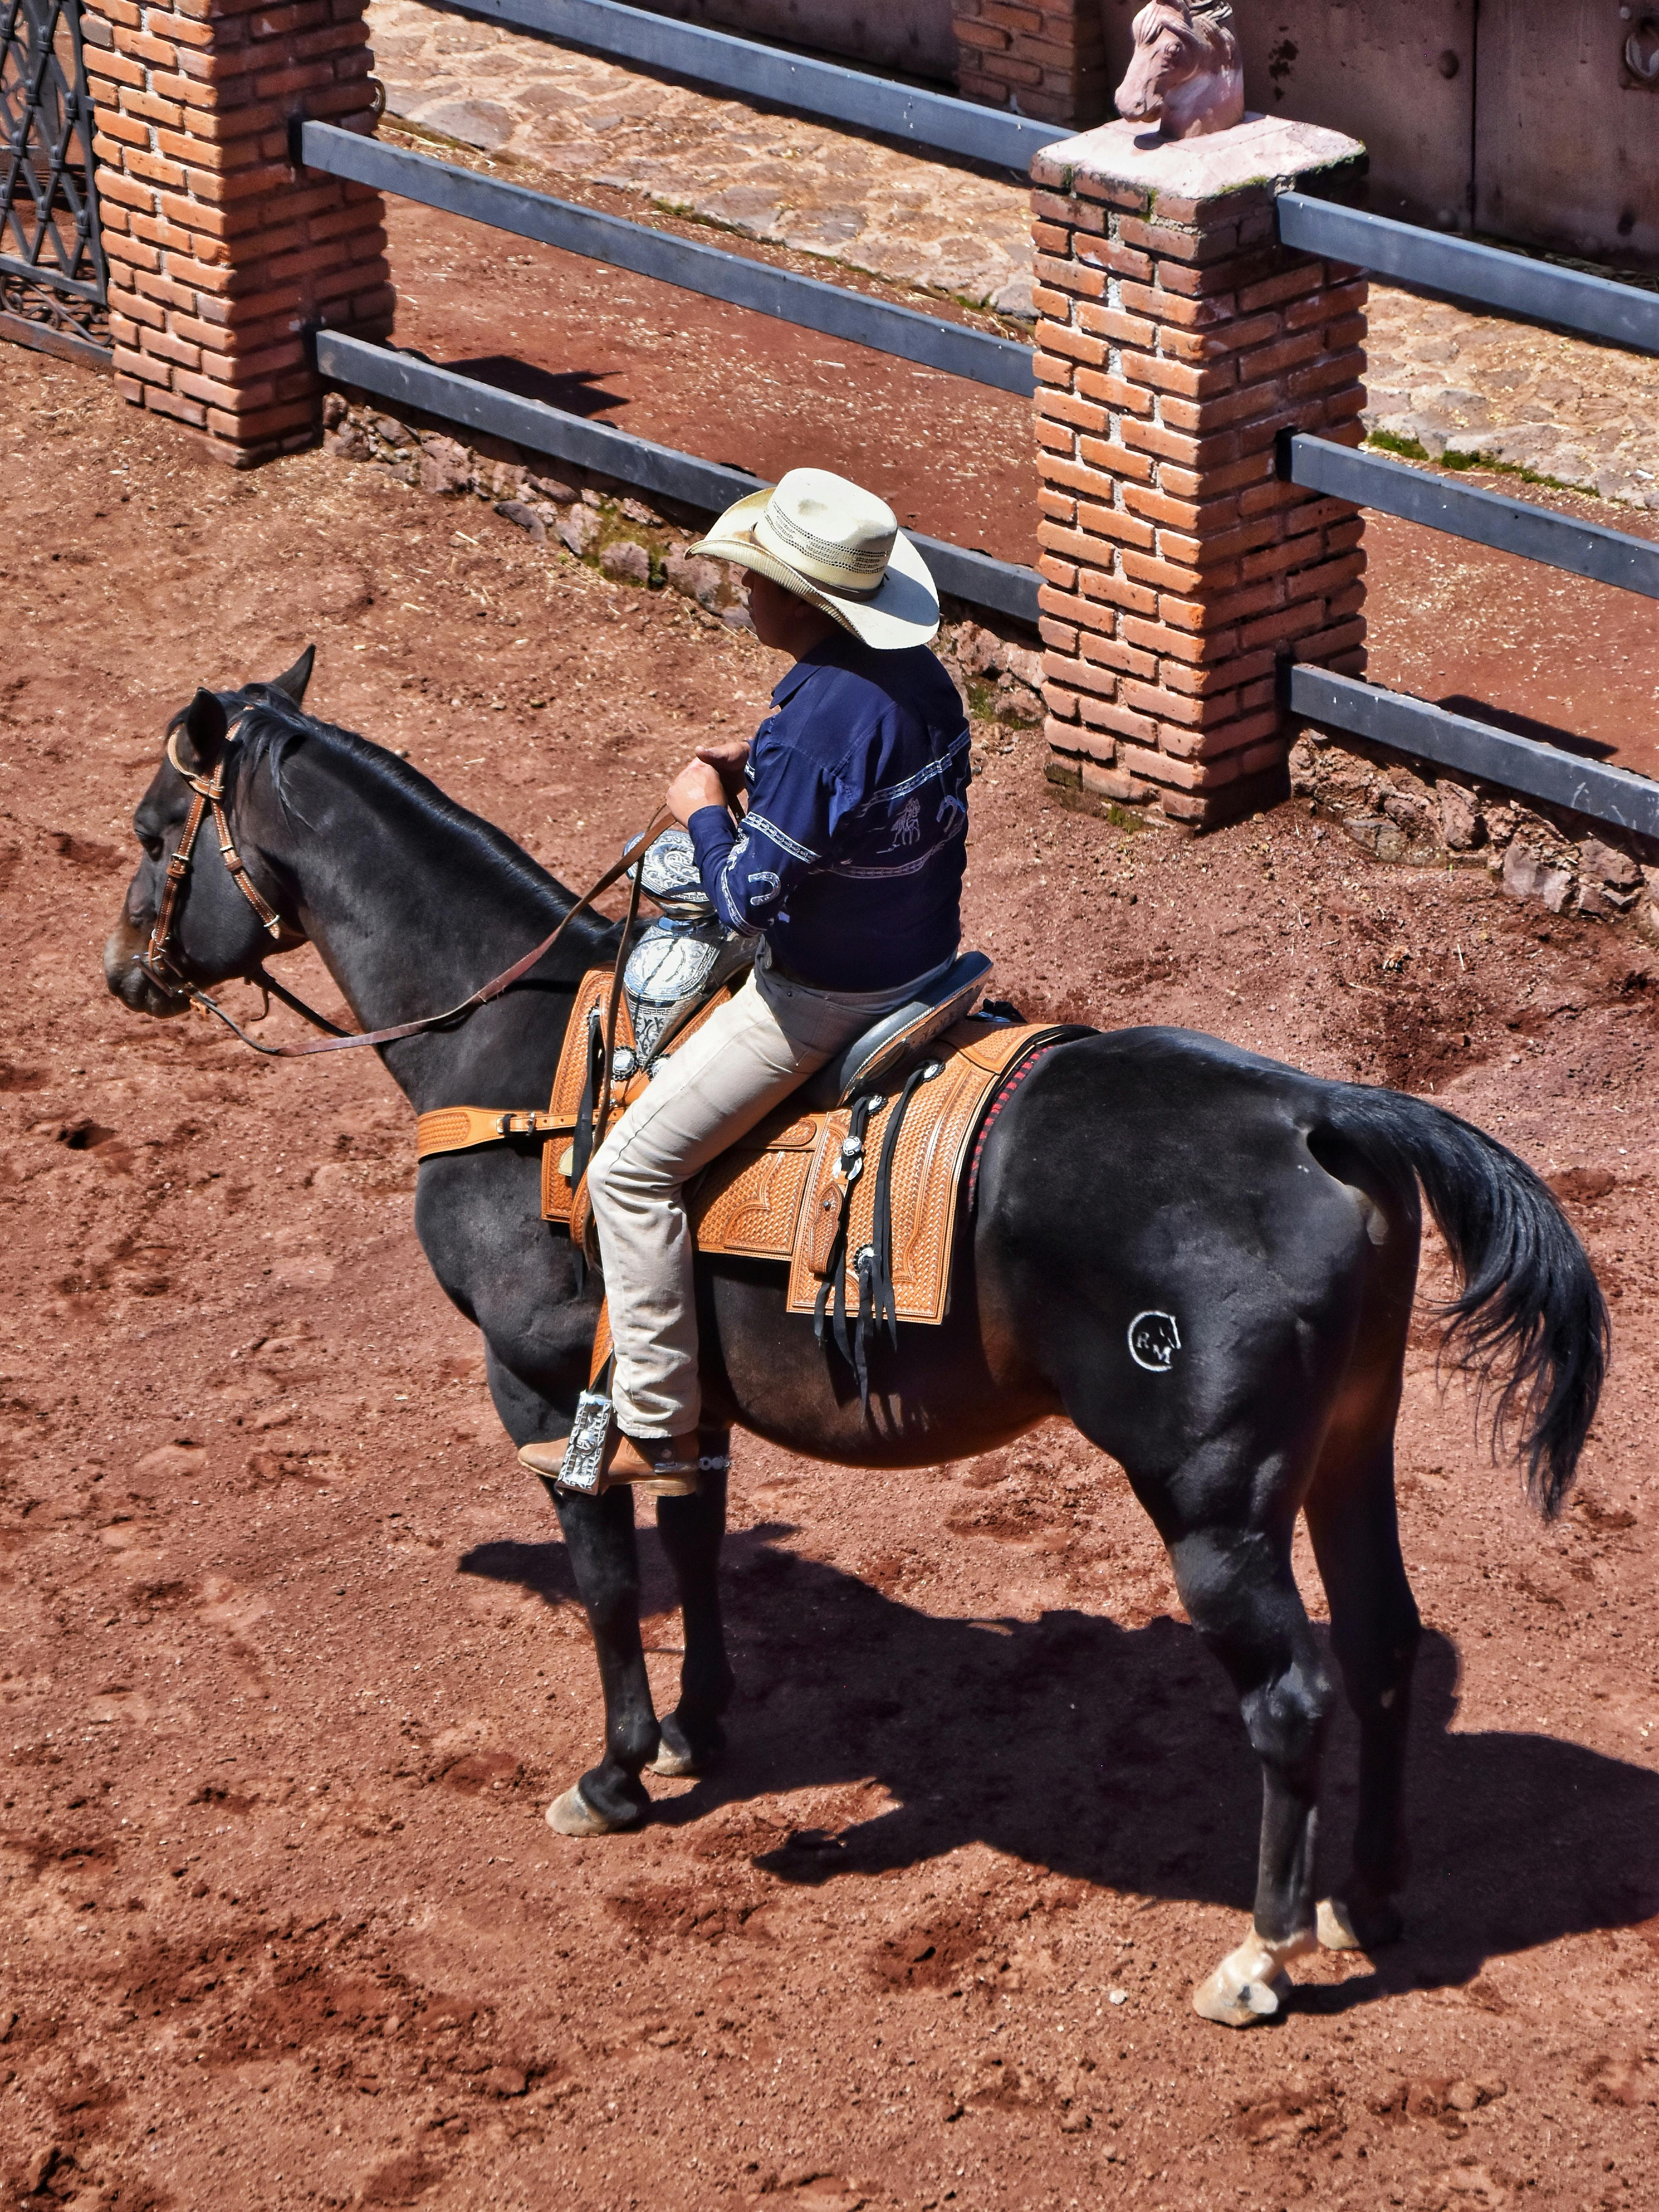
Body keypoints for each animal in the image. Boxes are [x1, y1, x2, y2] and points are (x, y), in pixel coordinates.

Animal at [104, 655, 1607, 2027]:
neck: (519, 1053)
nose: (126, 974)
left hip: (1213, 1509)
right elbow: (693, 1537)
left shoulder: (537, 1380)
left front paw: (615, 1771)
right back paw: (1369, 1898)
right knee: (1387, 1642)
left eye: (152, 824)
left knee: (1293, 1695)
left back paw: (1262, 1955)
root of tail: (1320, 1116)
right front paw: (699, 1729)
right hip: (1353, 1449)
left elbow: (606, 1577)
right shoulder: (683, 1389)